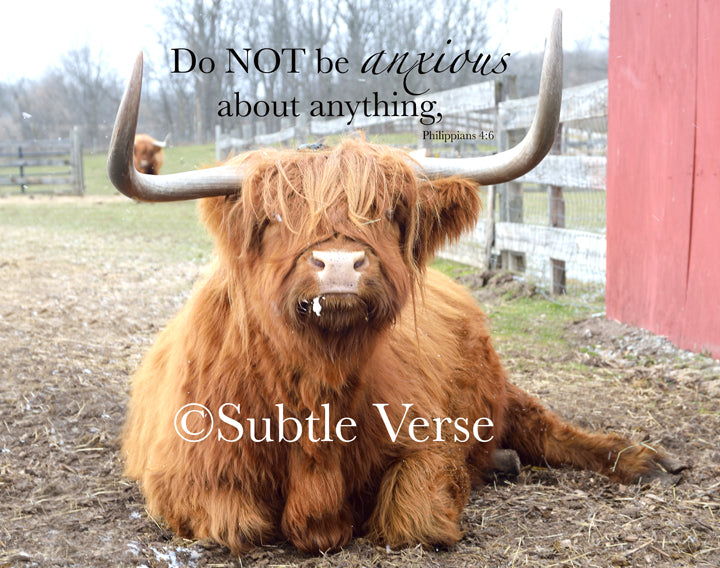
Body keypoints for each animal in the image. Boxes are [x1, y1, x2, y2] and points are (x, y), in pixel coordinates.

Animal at [107, 12, 683, 556]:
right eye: (274, 215)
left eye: (386, 211)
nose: (340, 264)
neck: (317, 397)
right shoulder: (185, 477)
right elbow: (240, 523)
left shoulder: (427, 443)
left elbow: (414, 517)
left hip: (502, 386)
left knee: (550, 429)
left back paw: (641, 460)